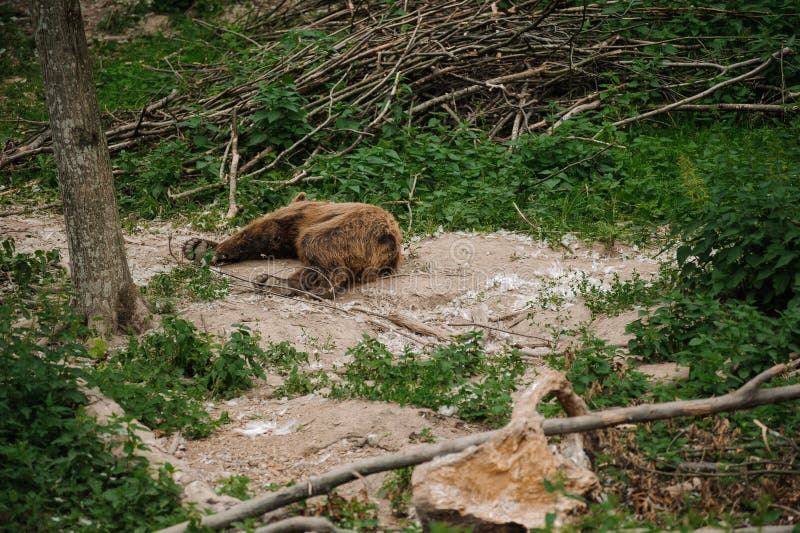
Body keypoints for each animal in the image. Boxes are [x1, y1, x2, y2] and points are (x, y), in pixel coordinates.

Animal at [183, 193, 402, 299]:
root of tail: (391, 239)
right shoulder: (287, 241)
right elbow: (266, 246)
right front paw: (196, 245)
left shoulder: (293, 219)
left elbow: (262, 232)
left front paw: (204, 249)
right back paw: (274, 282)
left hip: (348, 227)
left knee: (315, 243)